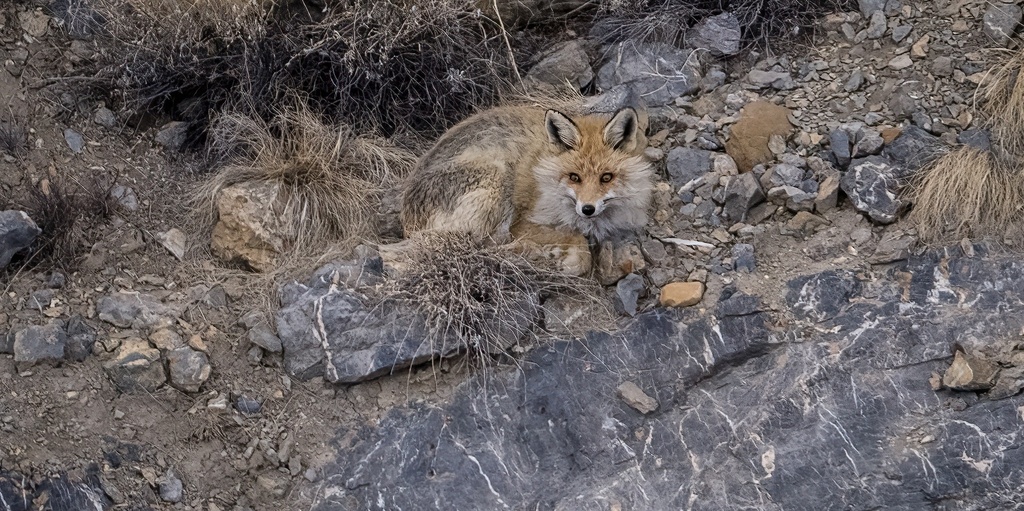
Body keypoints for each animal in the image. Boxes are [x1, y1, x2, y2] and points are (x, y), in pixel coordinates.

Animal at [399, 104, 655, 275]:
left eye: (606, 177)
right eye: (575, 177)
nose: (587, 209)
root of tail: (408, 224)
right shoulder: (522, 224)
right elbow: (578, 245)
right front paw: (568, 260)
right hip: (497, 176)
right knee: (481, 248)